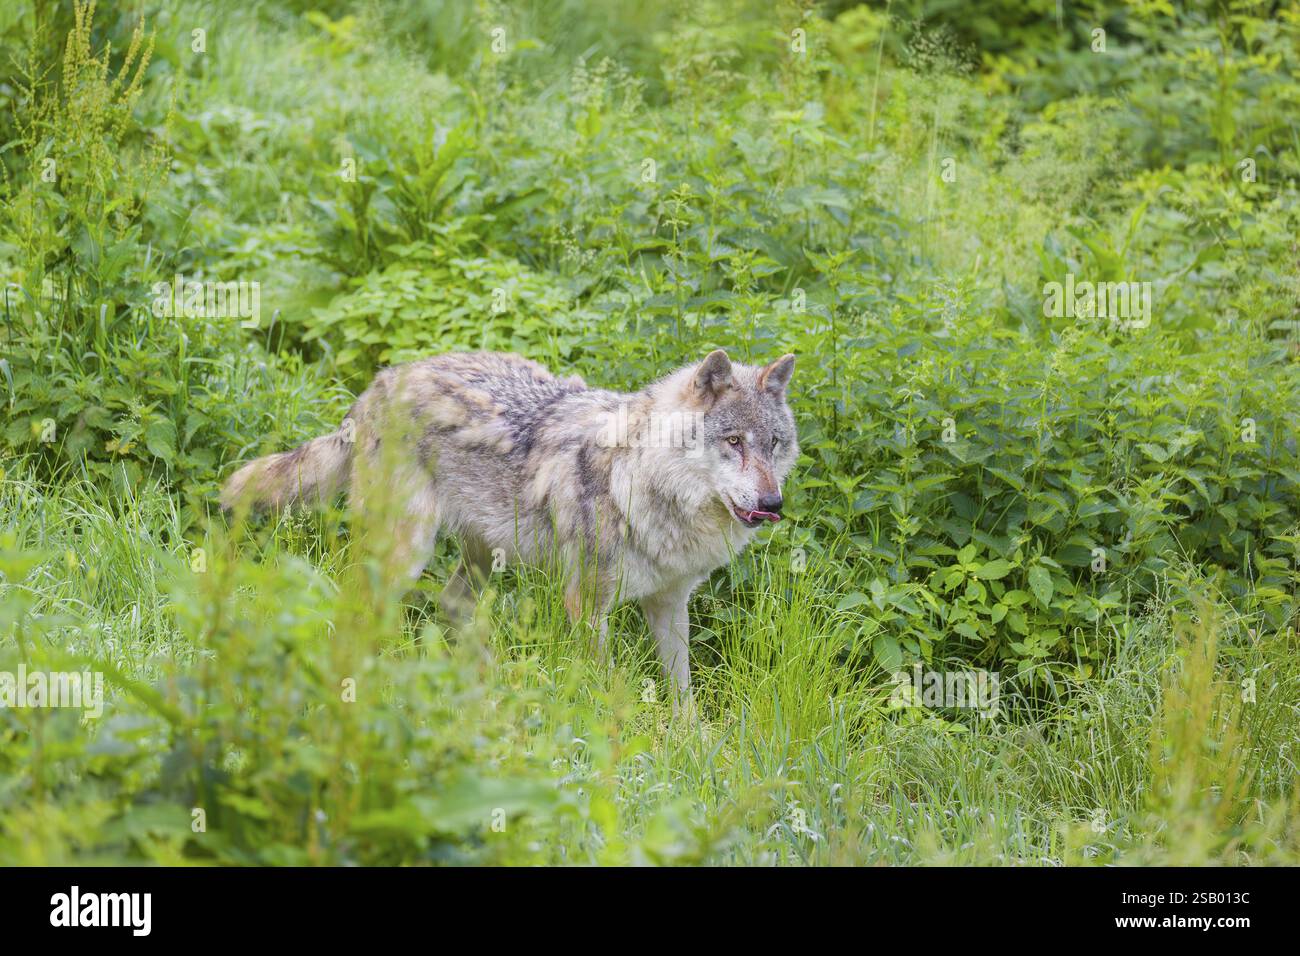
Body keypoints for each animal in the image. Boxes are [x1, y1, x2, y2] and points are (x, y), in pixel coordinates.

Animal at [221, 349, 798, 699]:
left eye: (774, 444)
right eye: (733, 442)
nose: (773, 503)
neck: (642, 476)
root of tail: (381, 382)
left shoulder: (670, 603)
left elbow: (683, 692)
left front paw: (689, 744)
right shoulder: (586, 603)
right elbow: (607, 686)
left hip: (485, 556)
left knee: (451, 604)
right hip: (405, 553)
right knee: (359, 608)